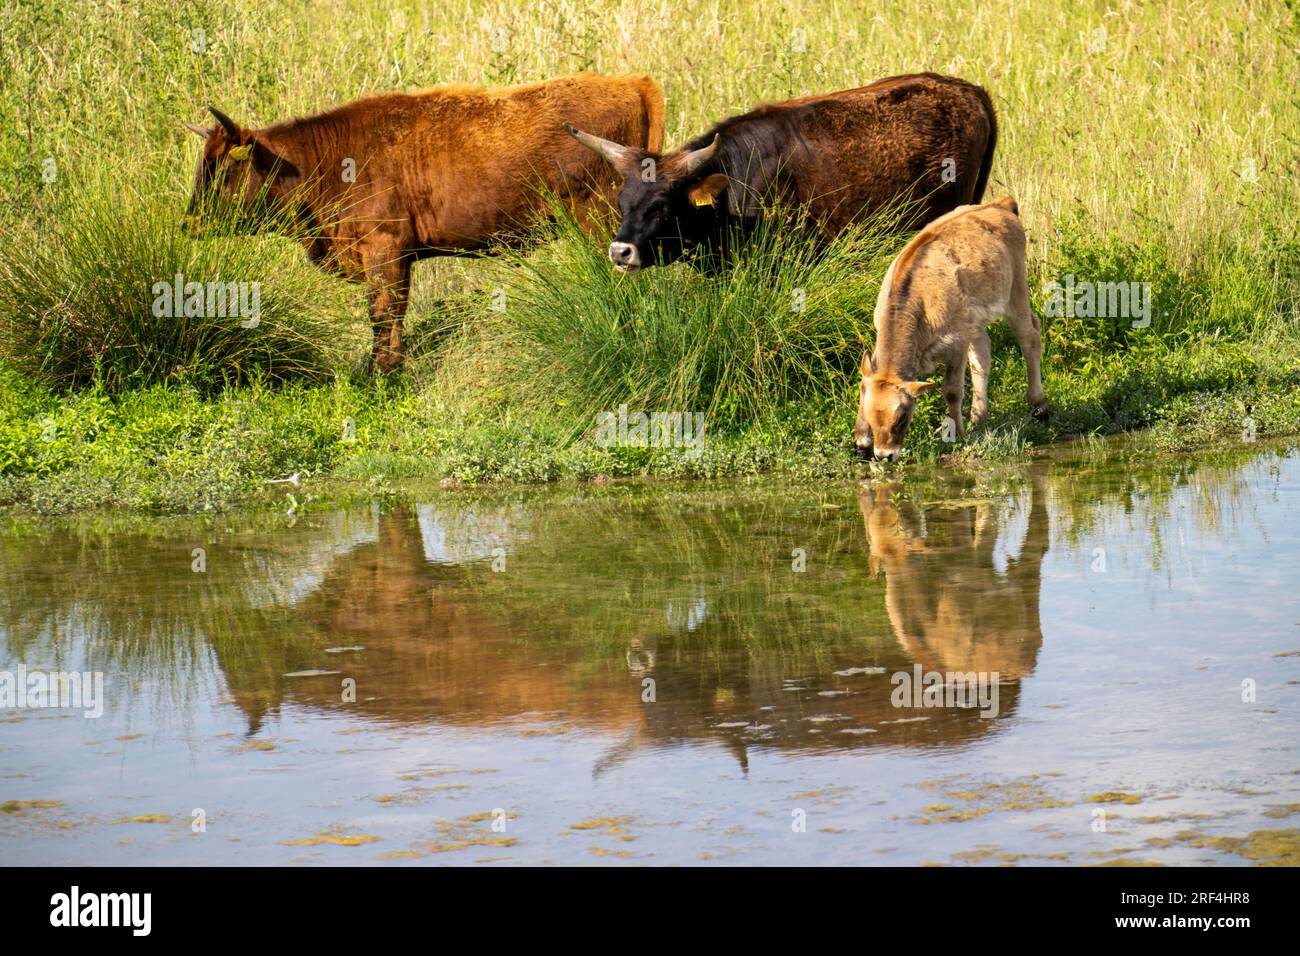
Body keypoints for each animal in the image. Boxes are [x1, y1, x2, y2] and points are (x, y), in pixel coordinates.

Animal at [182, 72, 665, 372]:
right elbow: (393, 315)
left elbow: (382, 314)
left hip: (599, 222)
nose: (190, 224)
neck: (324, 160)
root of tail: (632, 82)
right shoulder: (397, 258)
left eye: (223, 170)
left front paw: (381, 373)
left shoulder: (383, 250)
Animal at [854, 196, 1048, 462]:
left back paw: (1039, 405)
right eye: (870, 415)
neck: (917, 301)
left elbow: (952, 390)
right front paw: (861, 440)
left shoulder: (957, 342)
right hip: (976, 322)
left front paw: (957, 434)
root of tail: (1000, 205)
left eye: (902, 417)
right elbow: (865, 384)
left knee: (1030, 339)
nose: (884, 455)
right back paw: (979, 416)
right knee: (983, 356)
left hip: (1016, 294)